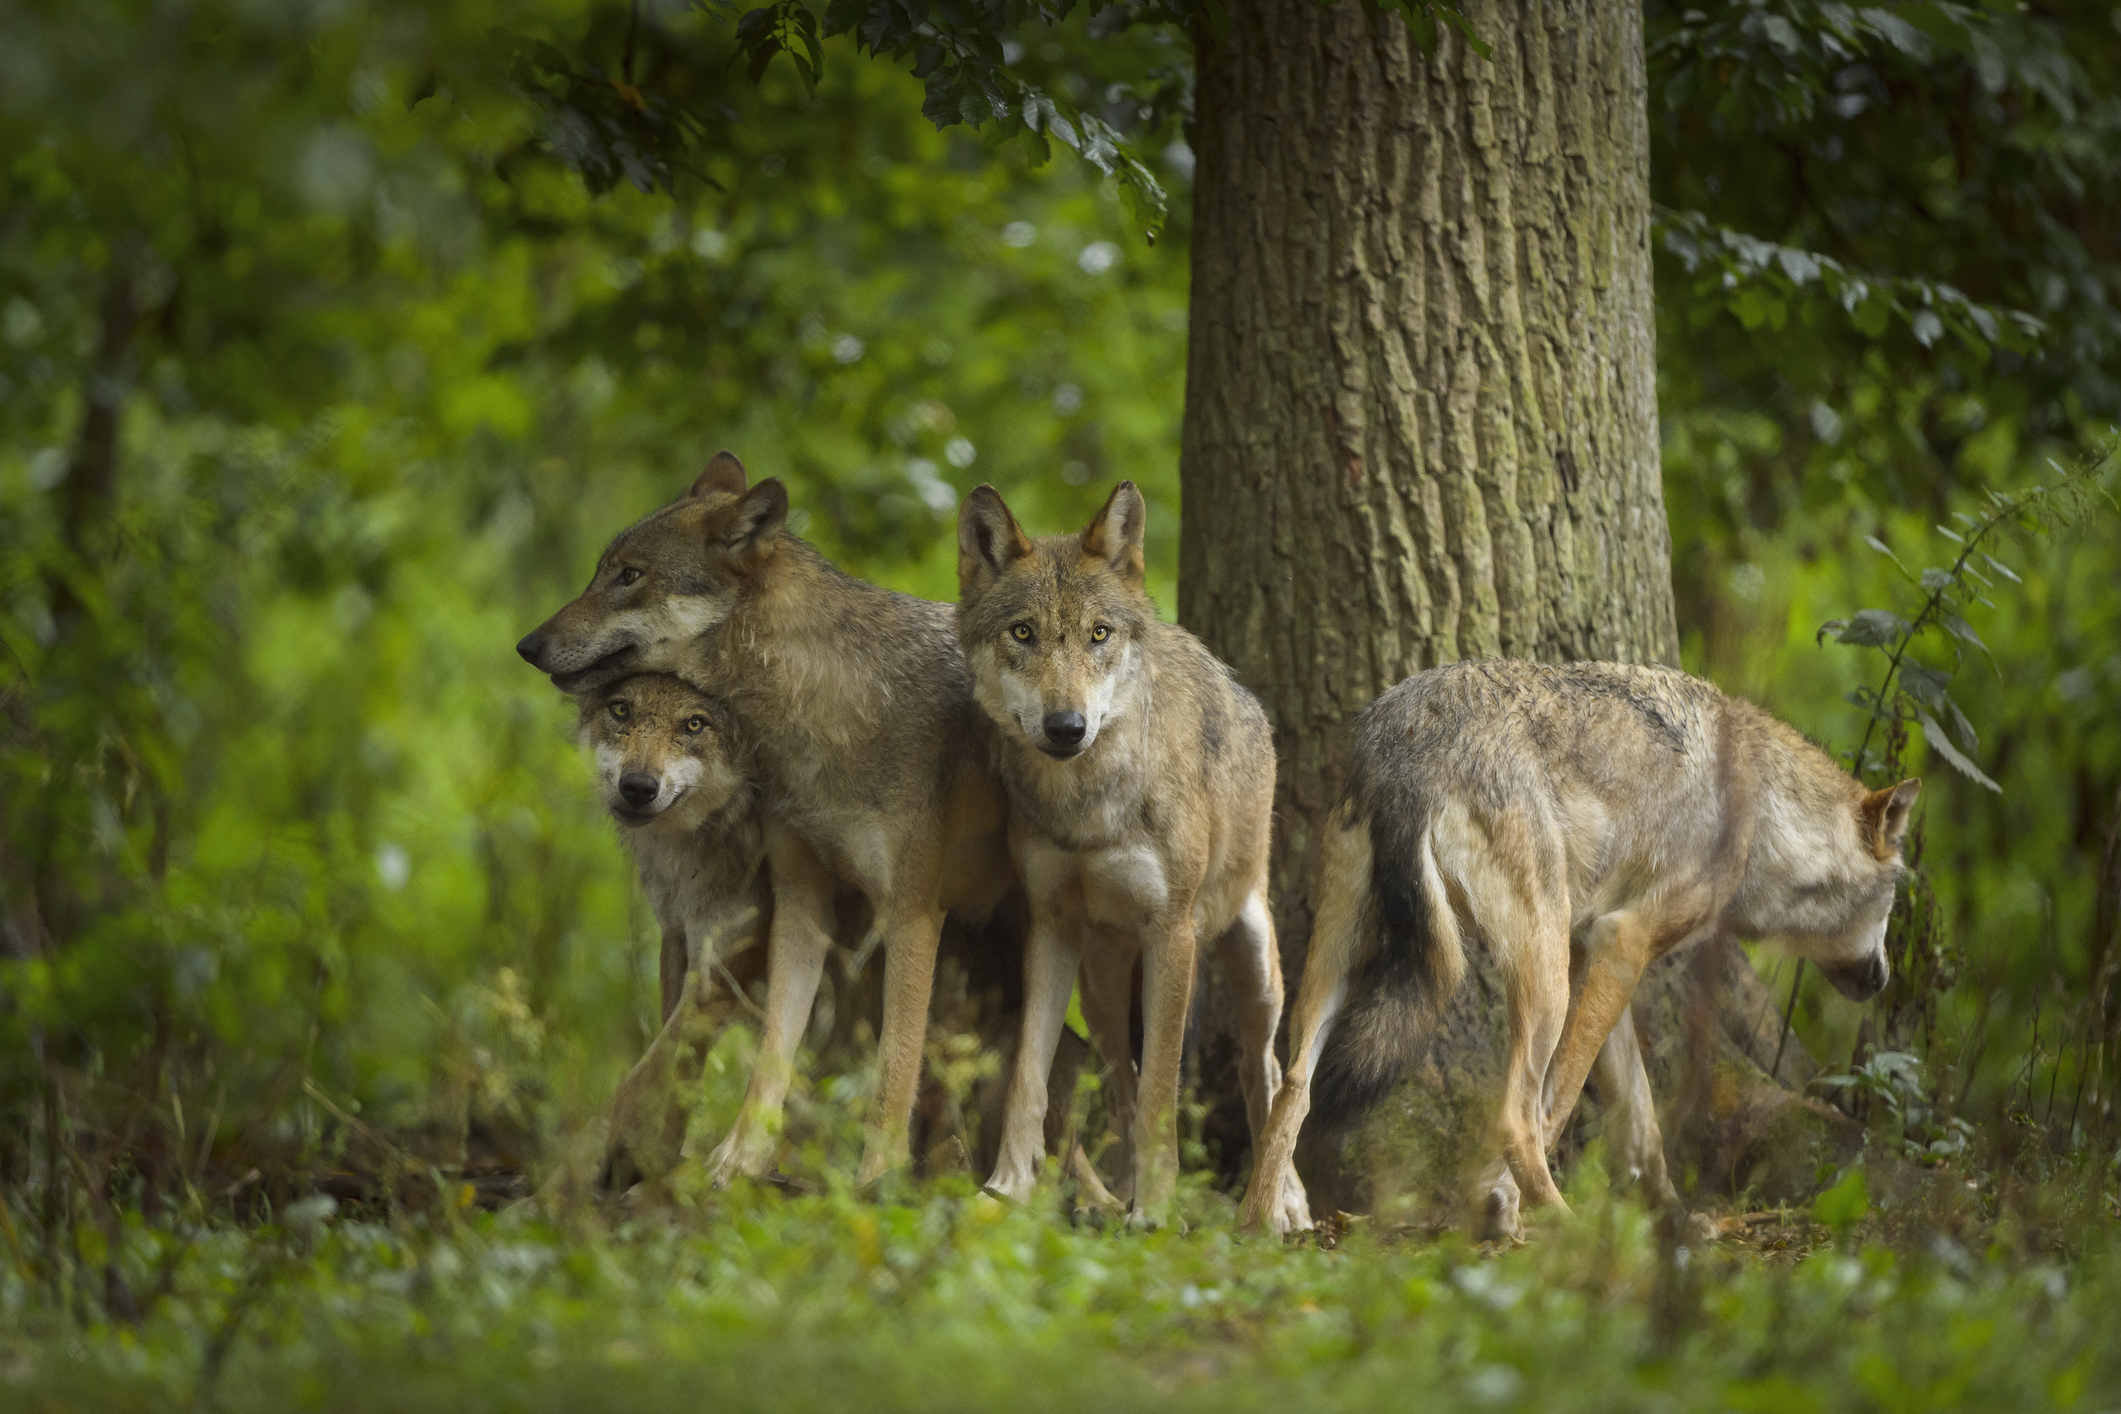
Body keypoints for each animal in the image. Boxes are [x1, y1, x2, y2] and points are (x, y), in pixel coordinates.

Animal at [517, 453, 1017, 1187]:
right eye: (601, 569)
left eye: (630, 575)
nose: (527, 645)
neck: (824, 714)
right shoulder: (794, 903)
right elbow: (766, 1051)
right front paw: (733, 1160)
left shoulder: (910, 913)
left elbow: (891, 1068)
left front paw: (874, 1180)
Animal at [956, 481, 1310, 1229]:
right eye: (1022, 633)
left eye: (1099, 634)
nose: (1066, 726)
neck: (1086, 808)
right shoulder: (1051, 927)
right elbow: (1031, 1074)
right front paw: (1007, 1187)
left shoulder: (1171, 932)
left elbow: (1162, 1095)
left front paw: (1155, 1211)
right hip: (1102, 987)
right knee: (1121, 1075)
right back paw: (1113, 1192)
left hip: (1253, 965)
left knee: (1263, 1072)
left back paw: (1283, 1205)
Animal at [1237, 659, 1918, 1240]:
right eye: (1895, 899)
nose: (1884, 980)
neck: (1764, 810)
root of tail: (1409, 738)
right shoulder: (1626, 941)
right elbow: (1559, 1105)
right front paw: (1500, 1208)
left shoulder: (1597, 950)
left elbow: (1641, 1124)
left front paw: (1676, 1221)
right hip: (1546, 987)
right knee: (1516, 1116)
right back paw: (1563, 1223)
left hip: (1337, 966)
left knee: (1291, 1088)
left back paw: (1259, 1224)